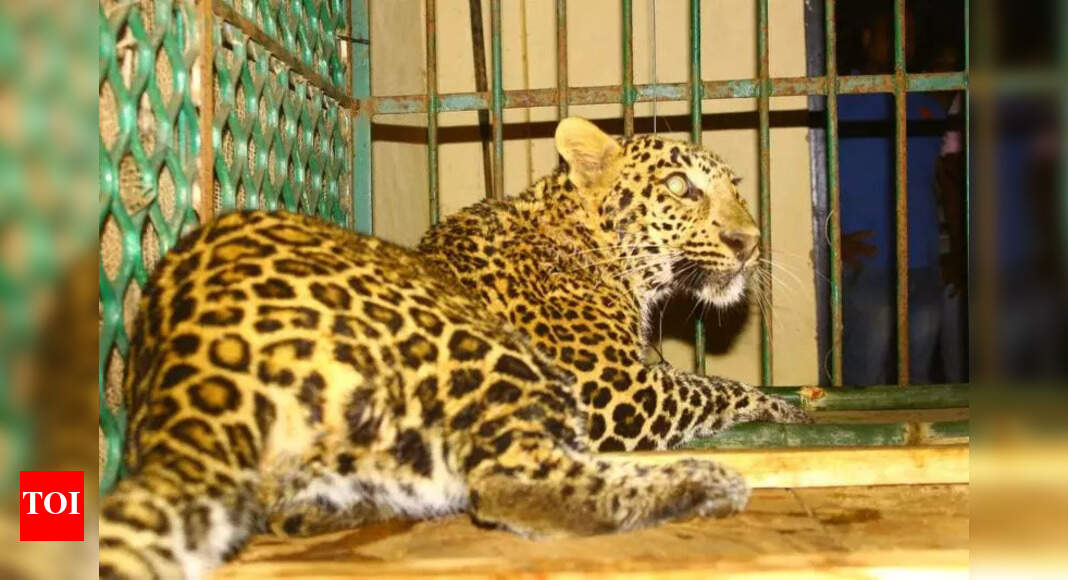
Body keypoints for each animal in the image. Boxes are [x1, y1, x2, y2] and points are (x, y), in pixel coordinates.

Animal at [98, 117, 810, 579]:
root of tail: (188, 345)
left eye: (737, 188)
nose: (750, 241)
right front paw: (784, 406)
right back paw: (708, 484)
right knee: (510, 484)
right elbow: (714, 386)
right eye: (680, 187)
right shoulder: (614, 390)